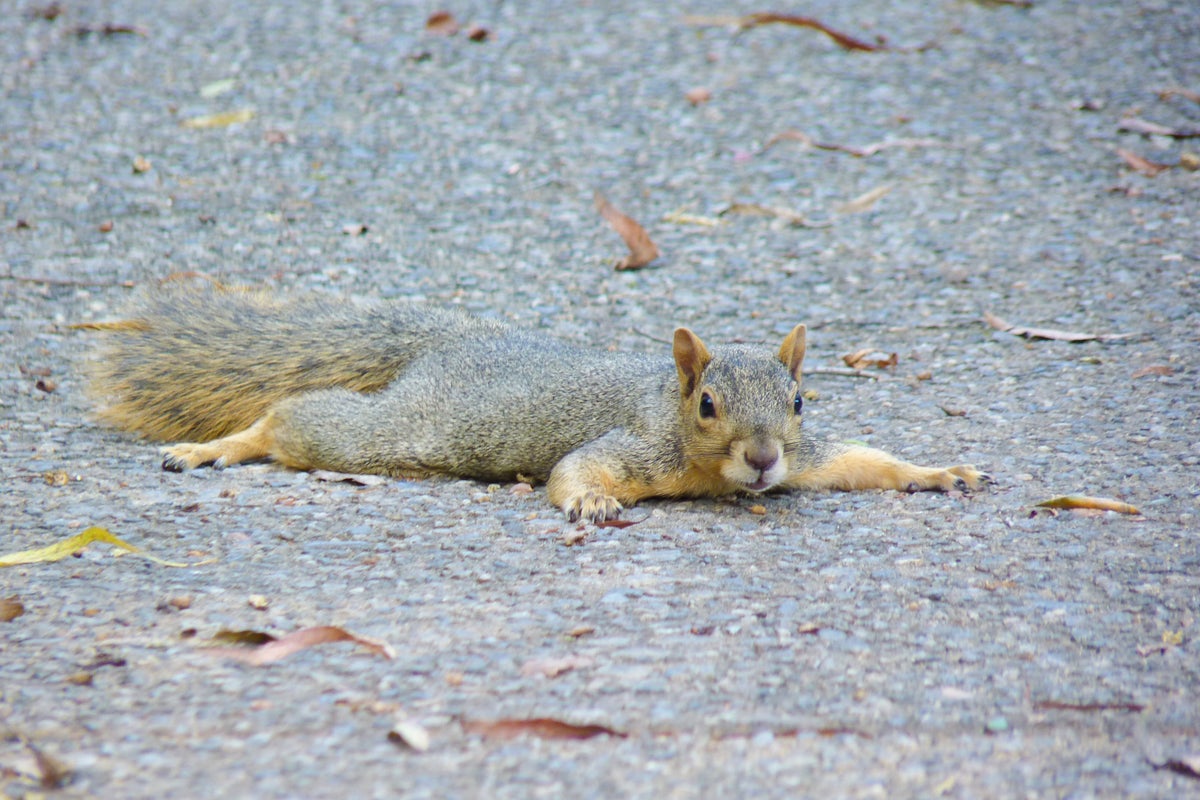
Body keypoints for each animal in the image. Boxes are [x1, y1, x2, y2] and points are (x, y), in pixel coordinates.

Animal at [86, 280, 990, 522]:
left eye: (801, 402)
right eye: (706, 405)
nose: (765, 460)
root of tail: (452, 340)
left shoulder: (813, 459)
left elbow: (861, 462)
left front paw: (936, 473)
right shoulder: (636, 445)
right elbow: (575, 468)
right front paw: (588, 502)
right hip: (401, 434)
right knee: (292, 419)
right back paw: (215, 447)